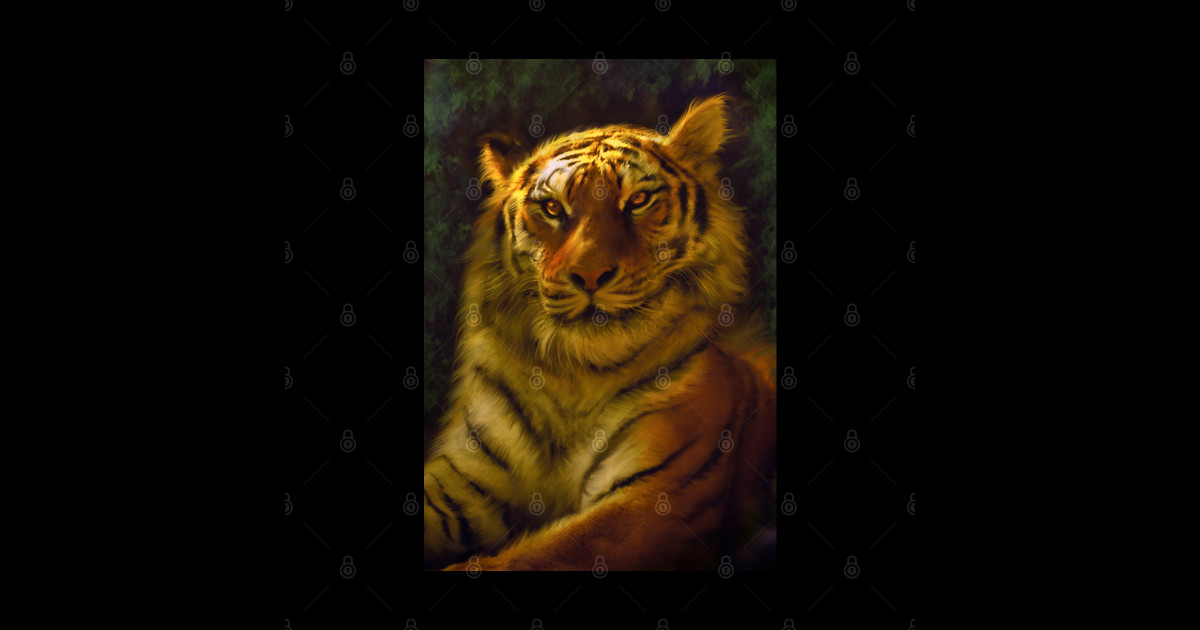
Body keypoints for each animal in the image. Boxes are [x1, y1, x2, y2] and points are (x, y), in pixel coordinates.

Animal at [423, 94, 777, 571]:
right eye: (553, 209)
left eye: (639, 200)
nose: (589, 275)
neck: (574, 372)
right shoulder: (464, 478)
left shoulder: (654, 500)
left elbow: (536, 556)